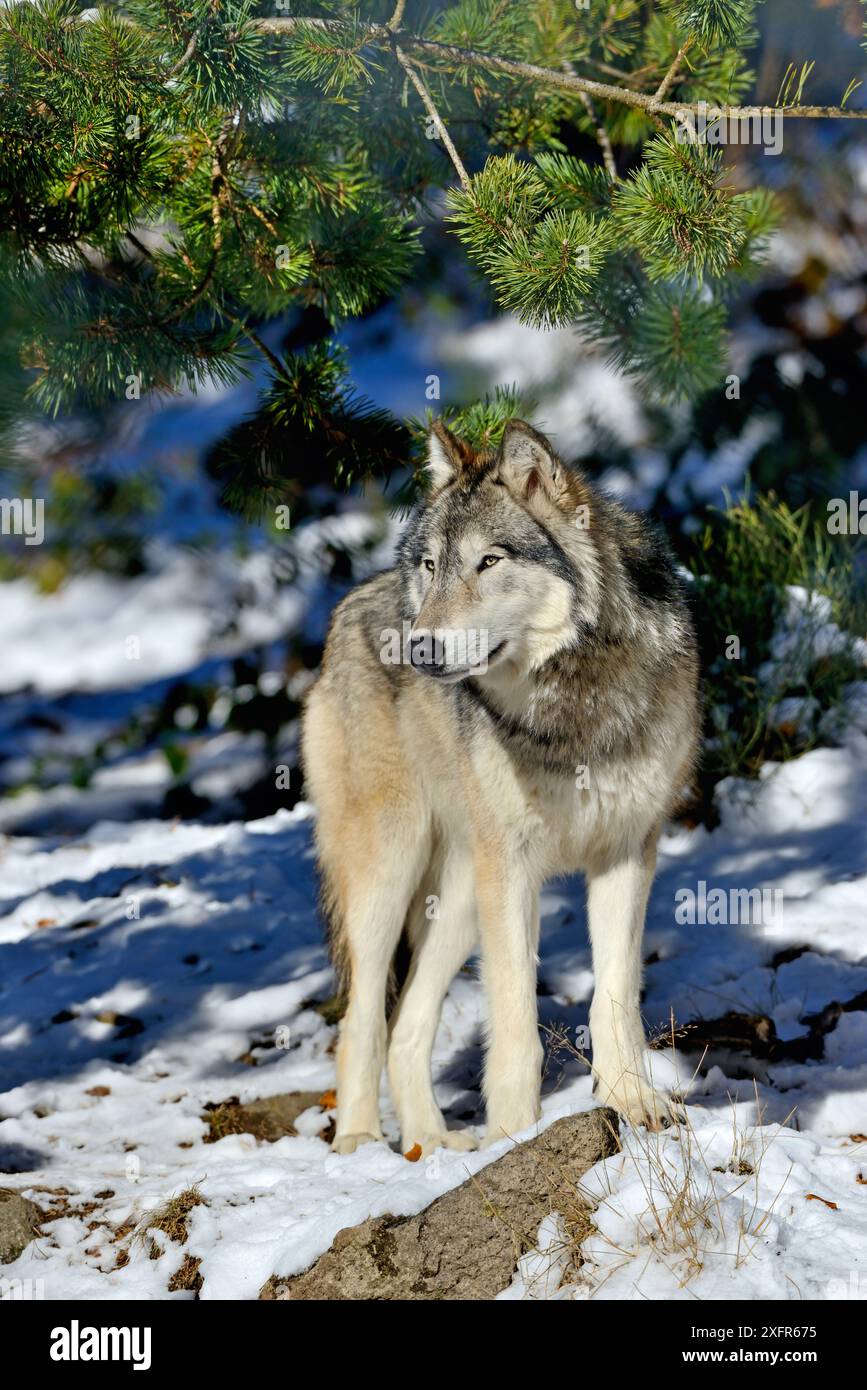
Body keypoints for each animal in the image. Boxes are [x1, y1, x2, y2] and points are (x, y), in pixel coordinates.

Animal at [301, 419, 700, 1155]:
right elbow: (515, 1021)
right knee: (361, 1022)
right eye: (431, 566)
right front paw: (516, 1135)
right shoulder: (511, 871)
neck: (569, 706)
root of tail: (347, 608)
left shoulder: (626, 854)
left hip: (457, 899)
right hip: (389, 877)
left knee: (405, 1032)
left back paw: (429, 1148)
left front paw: (634, 1103)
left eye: (488, 562)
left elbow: (615, 999)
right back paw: (360, 1142)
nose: (418, 648)